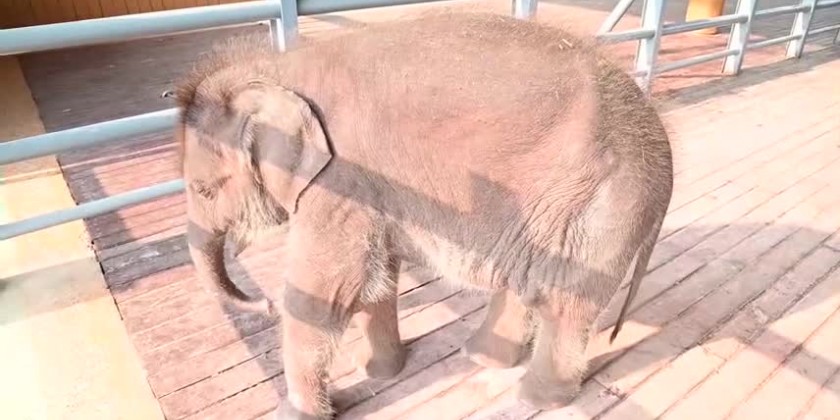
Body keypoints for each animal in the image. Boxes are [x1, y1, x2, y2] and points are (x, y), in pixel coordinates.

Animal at [172, 11, 673, 419]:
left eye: (203, 189)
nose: (262, 304)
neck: (277, 69)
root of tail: (661, 142)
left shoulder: (341, 180)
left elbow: (323, 294)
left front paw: (296, 414)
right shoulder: (368, 189)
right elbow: (376, 281)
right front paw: (380, 373)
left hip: (600, 206)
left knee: (564, 302)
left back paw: (534, 398)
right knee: (528, 285)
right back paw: (481, 358)